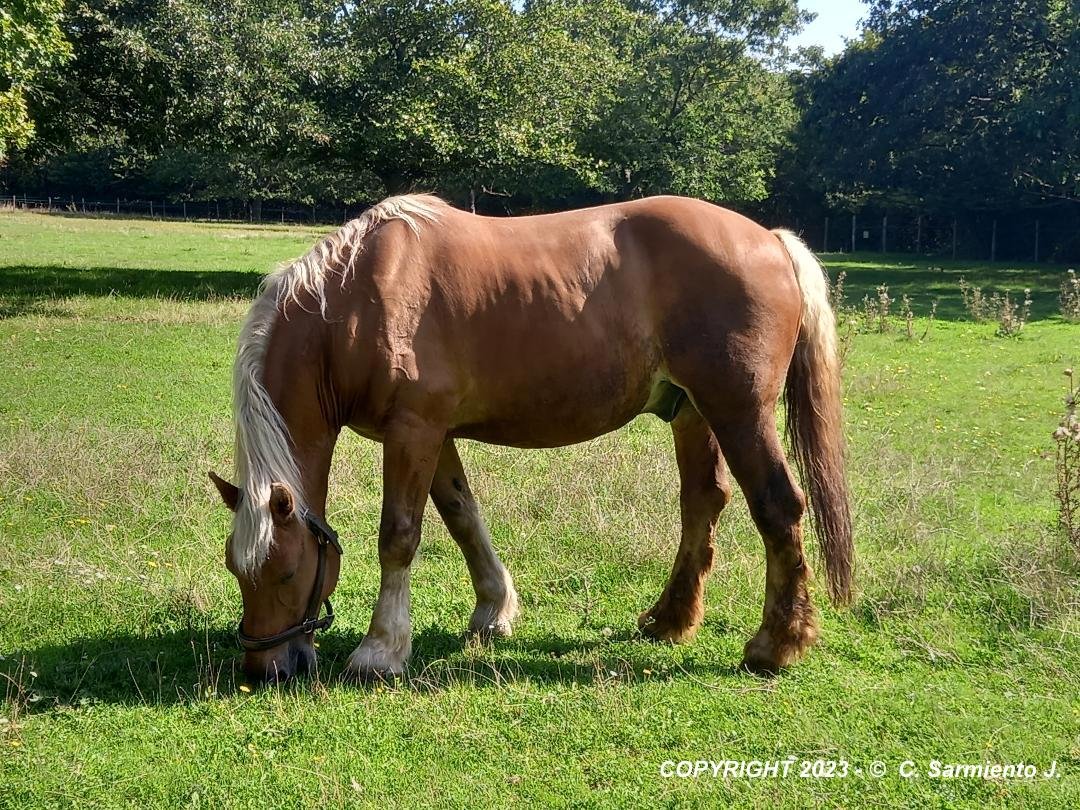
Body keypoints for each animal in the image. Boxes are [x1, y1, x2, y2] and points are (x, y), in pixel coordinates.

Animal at [208, 193, 853, 684]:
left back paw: (776, 644)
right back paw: (670, 620)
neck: (356, 302)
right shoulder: (436, 434)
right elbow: (463, 517)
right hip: (693, 412)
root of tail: (770, 240)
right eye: (237, 571)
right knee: (702, 505)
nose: (266, 670)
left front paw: (381, 650)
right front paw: (493, 611)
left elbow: (399, 536)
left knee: (778, 508)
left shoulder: (413, 429)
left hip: (739, 411)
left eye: (286, 572)